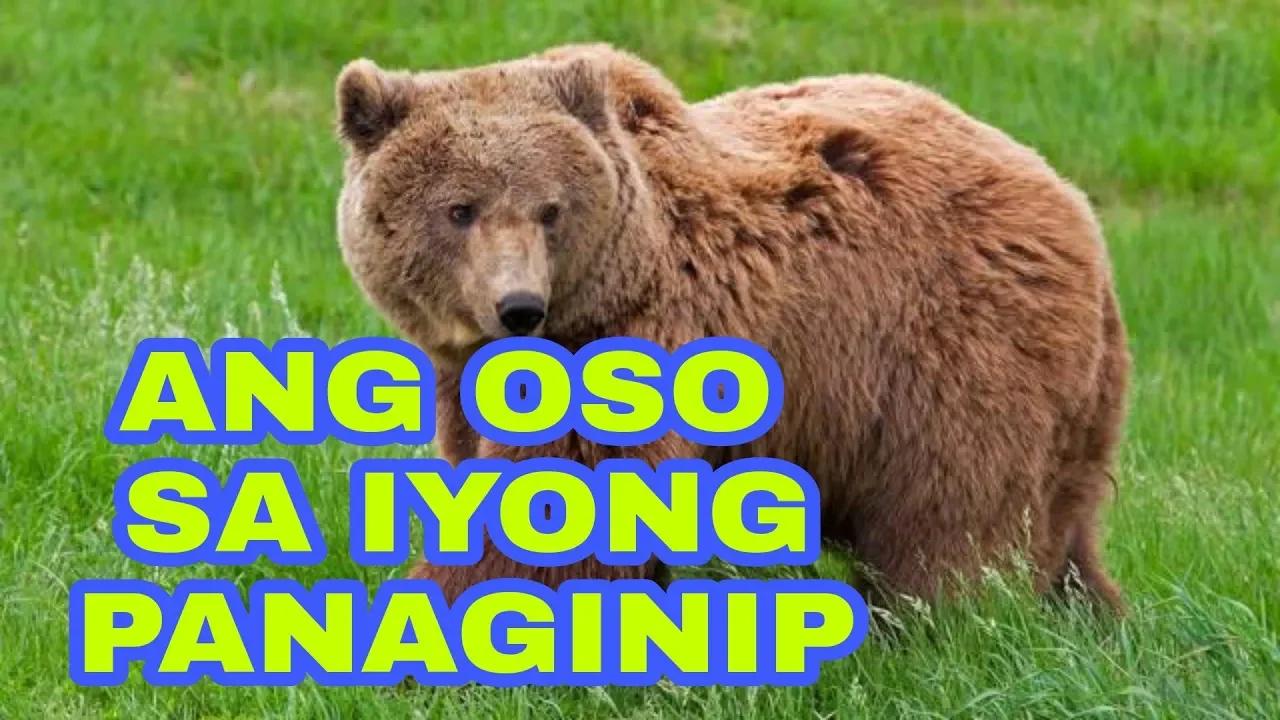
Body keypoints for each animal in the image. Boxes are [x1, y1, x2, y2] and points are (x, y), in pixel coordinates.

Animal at [333, 43, 1129, 610]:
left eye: (549, 209)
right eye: (459, 209)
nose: (519, 306)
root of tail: (1070, 200)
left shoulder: (629, 344)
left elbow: (558, 505)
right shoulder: (461, 370)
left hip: (951, 352)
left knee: (952, 519)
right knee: (1064, 520)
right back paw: (1090, 611)